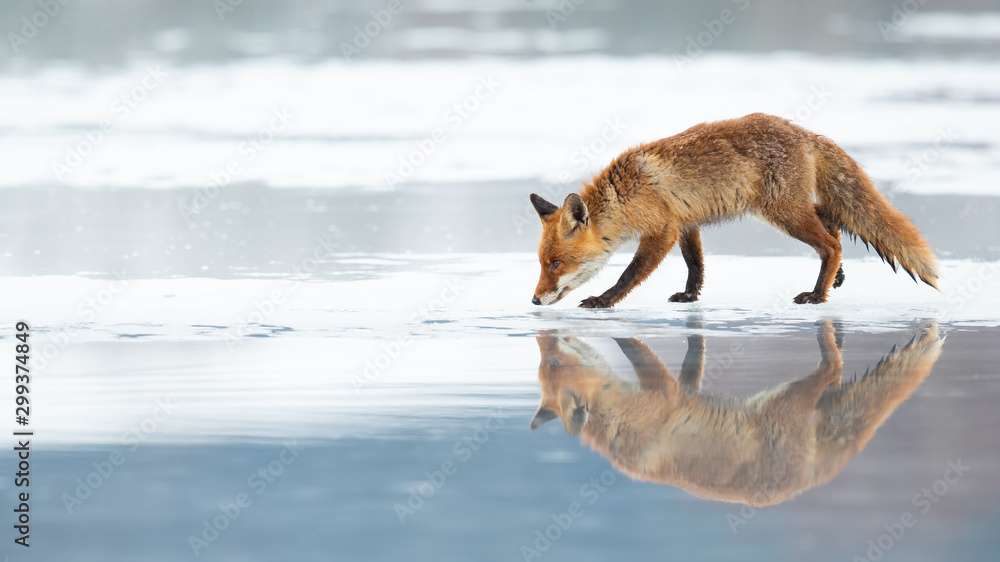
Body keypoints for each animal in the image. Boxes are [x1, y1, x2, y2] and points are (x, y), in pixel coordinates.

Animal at [529, 113, 939, 307]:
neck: (623, 195)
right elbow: (695, 265)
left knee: (831, 242)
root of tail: (802, 131)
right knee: (830, 221)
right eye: (541, 263)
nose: (533, 299)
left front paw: (604, 300)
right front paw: (691, 297)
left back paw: (818, 294)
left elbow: (630, 274)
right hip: (789, 209)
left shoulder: (662, 229)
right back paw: (834, 278)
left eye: (556, 263)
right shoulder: (686, 222)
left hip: (782, 213)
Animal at [529, 321, 945, 506]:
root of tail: (812, 479)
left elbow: (638, 350)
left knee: (832, 371)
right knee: (833, 379)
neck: (621, 420)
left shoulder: (664, 392)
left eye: (552, 361)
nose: (545, 334)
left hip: (787, 400)